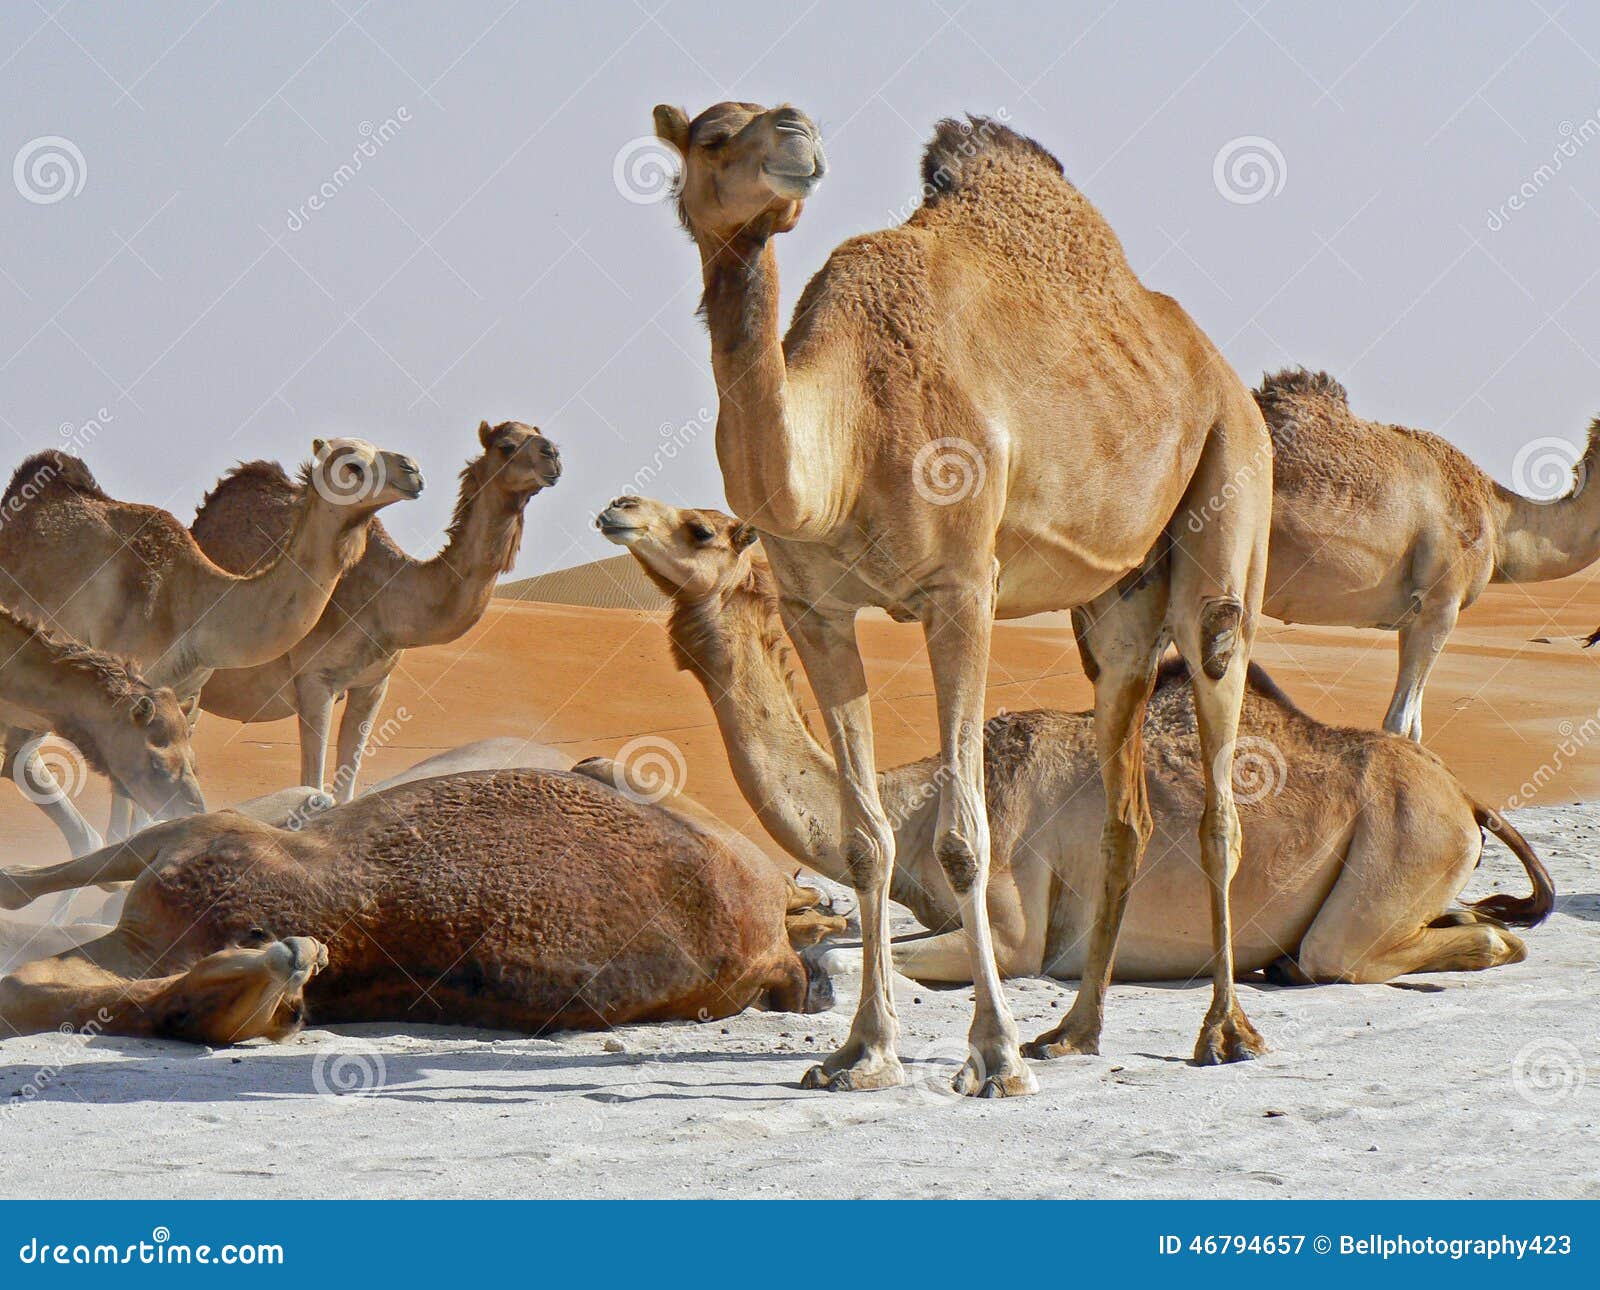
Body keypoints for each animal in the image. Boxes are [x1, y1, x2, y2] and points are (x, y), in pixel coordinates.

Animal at [192, 421, 560, 799]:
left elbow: (346, 786)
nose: (552, 454)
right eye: (507, 446)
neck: (387, 600)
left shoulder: (373, 685)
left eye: (538, 434)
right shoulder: (313, 681)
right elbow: (313, 783)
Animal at [602, 497, 1552, 984]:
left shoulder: (1015, 931)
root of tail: (1465, 796)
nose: (617, 508)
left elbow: (850, 957)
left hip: (1405, 839)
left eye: (700, 528)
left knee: (1367, 952)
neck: (917, 809)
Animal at [653, 101, 1274, 1091]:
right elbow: (865, 840)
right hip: (1117, 608)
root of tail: (1215, 368)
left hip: (1231, 494)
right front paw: (862, 1052)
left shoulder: (961, 591)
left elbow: (960, 839)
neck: (848, 431)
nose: (795, 135)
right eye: (712, 138)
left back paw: (1224, 1030)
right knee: (1127, 808)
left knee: (1220, 785)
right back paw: (1076, 1029)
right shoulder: (816, 611)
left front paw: (993, 1055)